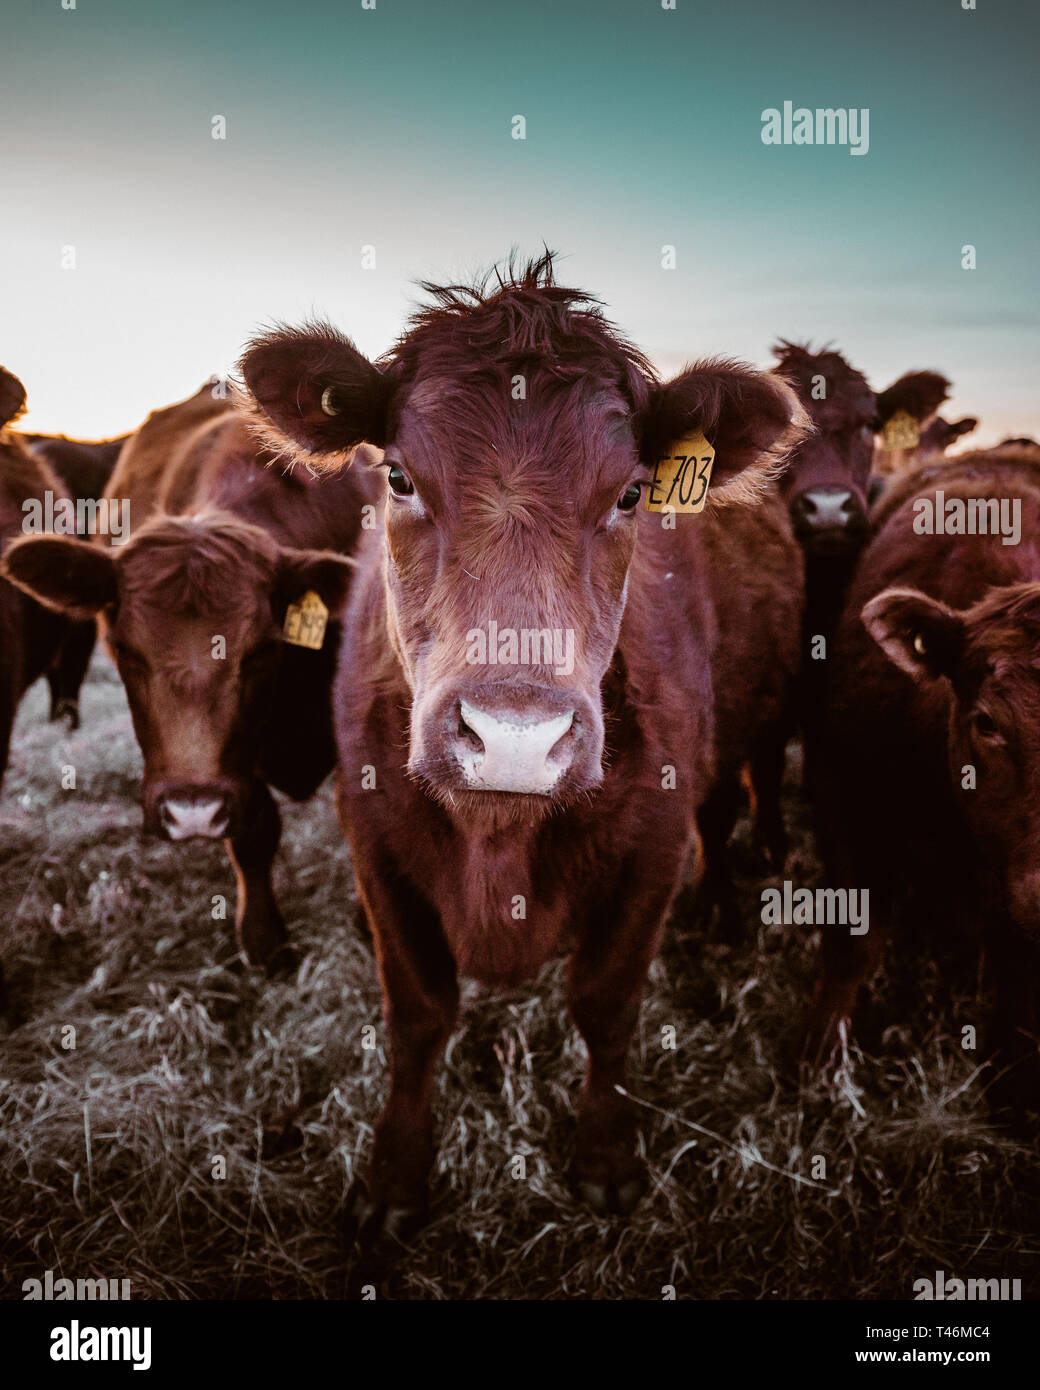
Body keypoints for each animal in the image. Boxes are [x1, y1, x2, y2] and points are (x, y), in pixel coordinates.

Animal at [3, 394, 378, 972]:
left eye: (262, 652)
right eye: (125, 651)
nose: (192, 811)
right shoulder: (239, 770)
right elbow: (254, 831)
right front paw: (265, 942)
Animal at [240, 253, 809, 1241]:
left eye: (631, 493)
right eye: (398, 478)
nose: (513, 736)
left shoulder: (653, 846)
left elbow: (606, 1005)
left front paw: (607, 1160)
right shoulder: (375, 838)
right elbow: (419, 1013)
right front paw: (394, 1179)